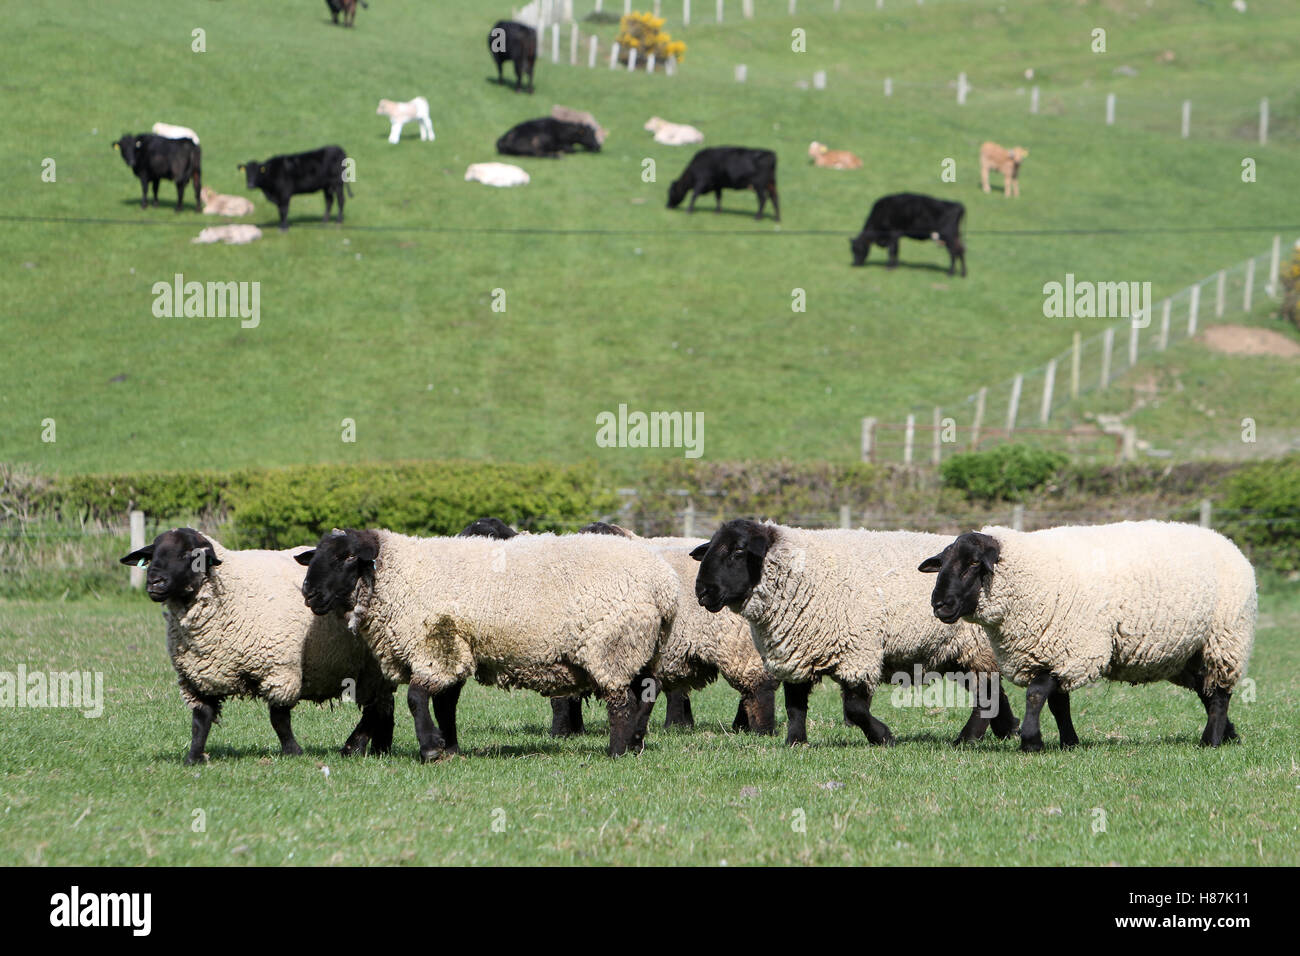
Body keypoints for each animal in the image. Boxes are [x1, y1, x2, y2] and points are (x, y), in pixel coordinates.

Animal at [119, 528, 395, 765]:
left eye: (189, 553)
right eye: (153, 553)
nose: (155, 582)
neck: (230, 590)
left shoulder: (279, 667)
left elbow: (279, 718)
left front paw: (293, 752)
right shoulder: (199, 677)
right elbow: (201, 721)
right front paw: (194, 758)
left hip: (374, 666)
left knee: (376, 707)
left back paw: (355, 747)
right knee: (384, 705)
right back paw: (381, 748)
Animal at [295, 528, 679, 759]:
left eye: (347, 557)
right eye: (315, 556)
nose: (308, 594)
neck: (398, 575)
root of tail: (664, 586)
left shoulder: (436, 645)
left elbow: (417, 698)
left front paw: (430, 749)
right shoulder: (455, 646)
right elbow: (445, 704)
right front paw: (449, 746)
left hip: (612, 644)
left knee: (621, 700)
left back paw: (616, 751)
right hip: (645, 647)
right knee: (645, 694)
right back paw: (634, 744)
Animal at [691, 519, 1019, 747]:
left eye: (738, 550)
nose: (702, 592)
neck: (800, 575)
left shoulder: (858, 652)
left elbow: (856, 709)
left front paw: (883, 737)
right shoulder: (797, 652)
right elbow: (795, 706)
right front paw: (796, 742)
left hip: (976, 646)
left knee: (986, 695)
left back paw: (968, 738)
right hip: (962, 652)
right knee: (992, 692)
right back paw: (1006, 729)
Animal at [919, 521, 1257, 750]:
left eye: (974, 563)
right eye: (942, 565)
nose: (940, 605)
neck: (1031, 574)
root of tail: (1229, 544)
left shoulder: (1071, 649)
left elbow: (1036, 694)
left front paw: (1031, 741)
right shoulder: (1052, 651)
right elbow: (1058, 703)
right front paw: (1069, 742)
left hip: (1224, 639)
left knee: (1220, 693)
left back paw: (1210, 741)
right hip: (1188, 652)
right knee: (1206, 690)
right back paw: (1228, 734)